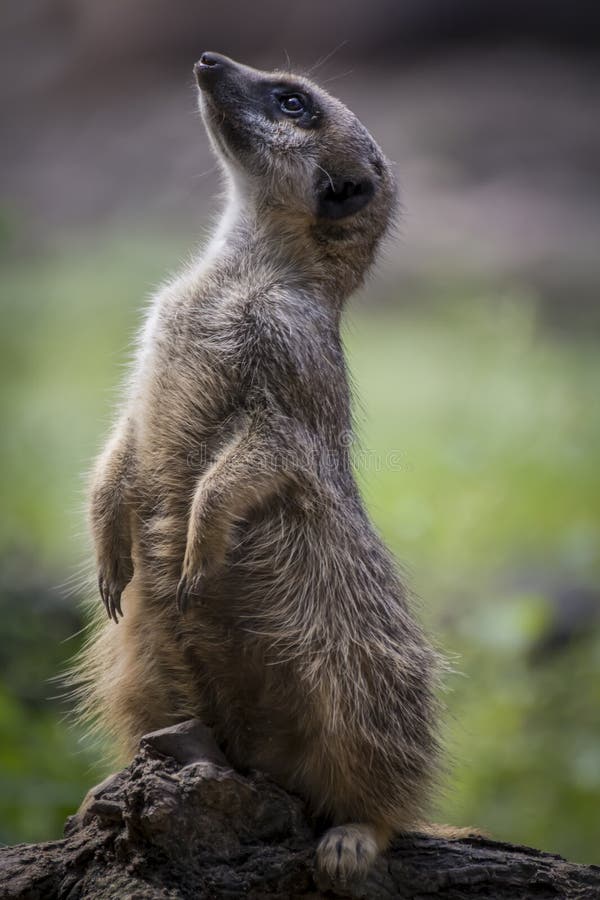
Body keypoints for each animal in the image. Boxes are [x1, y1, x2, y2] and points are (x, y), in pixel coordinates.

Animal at [76, 52, 442, 884]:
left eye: (292, 101)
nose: (210, 60)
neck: (237, 275)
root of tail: (263, 756)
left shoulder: (292, 362)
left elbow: (269, 449)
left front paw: (199, 542)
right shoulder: (156, 330)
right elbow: (121, 440)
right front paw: (109, 545)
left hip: (356, 650)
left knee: (376, 745)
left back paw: (356, 832)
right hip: (139, 661)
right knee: (153, 708)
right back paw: (138, 771)